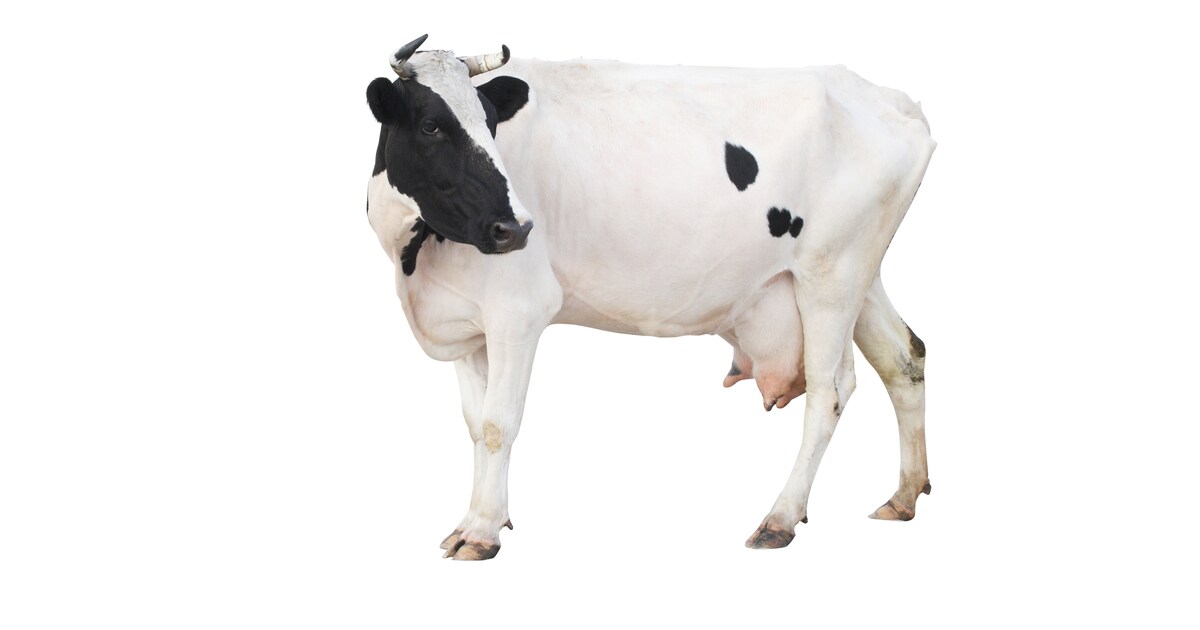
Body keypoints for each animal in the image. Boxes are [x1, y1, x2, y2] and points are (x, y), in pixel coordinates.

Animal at [365, 35, 937, 560]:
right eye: (431, 125)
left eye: (489, 121)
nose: (515, 228)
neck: (415, 262)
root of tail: (890, 97)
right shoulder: (465, 322)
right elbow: (472, 422)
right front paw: (483, 517)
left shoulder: (518, 310)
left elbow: (496, 424)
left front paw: (481, 531)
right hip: (860, 274)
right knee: (904, 357)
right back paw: (904, 496)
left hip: (830, 275)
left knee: (829, 391)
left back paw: (780, 518)